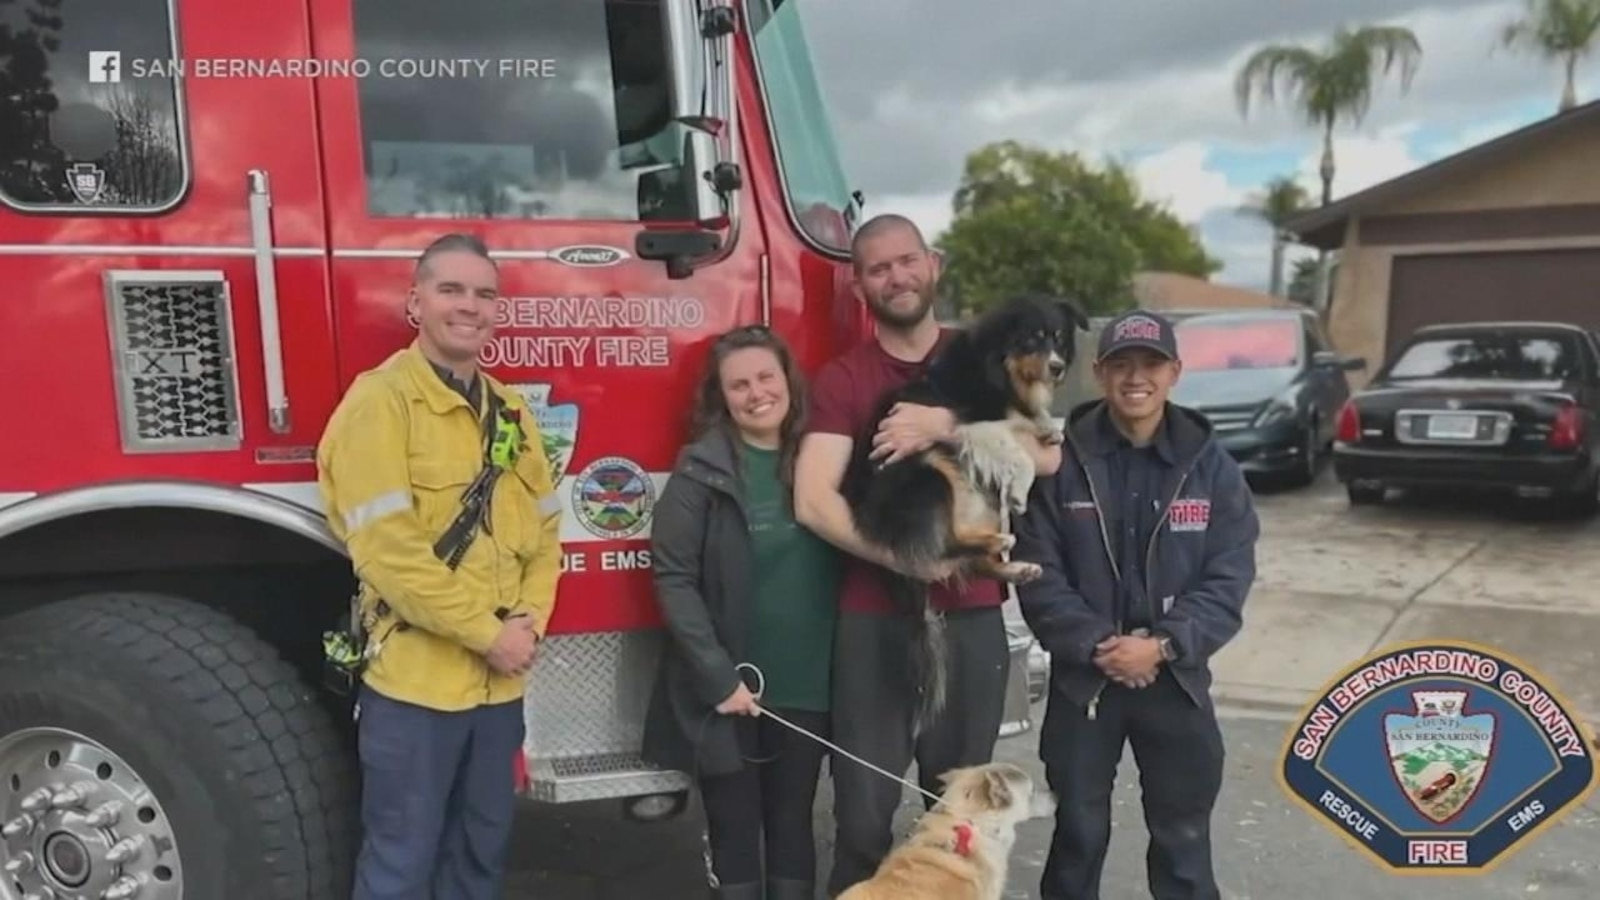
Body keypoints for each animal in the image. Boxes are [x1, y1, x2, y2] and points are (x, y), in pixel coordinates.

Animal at [843, 293, 1089, 727]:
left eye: (1058, 338)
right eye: (1033, 338)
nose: (1057, 367)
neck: (1000, 368)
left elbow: (1030, 430)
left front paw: (1046, 427)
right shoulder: (973, 423)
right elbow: (1019, 454)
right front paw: (1022, 488)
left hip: (980, 494)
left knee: (971, 561)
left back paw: (1015, 565)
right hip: (931, 478)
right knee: (944, 546)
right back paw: (999, 541)